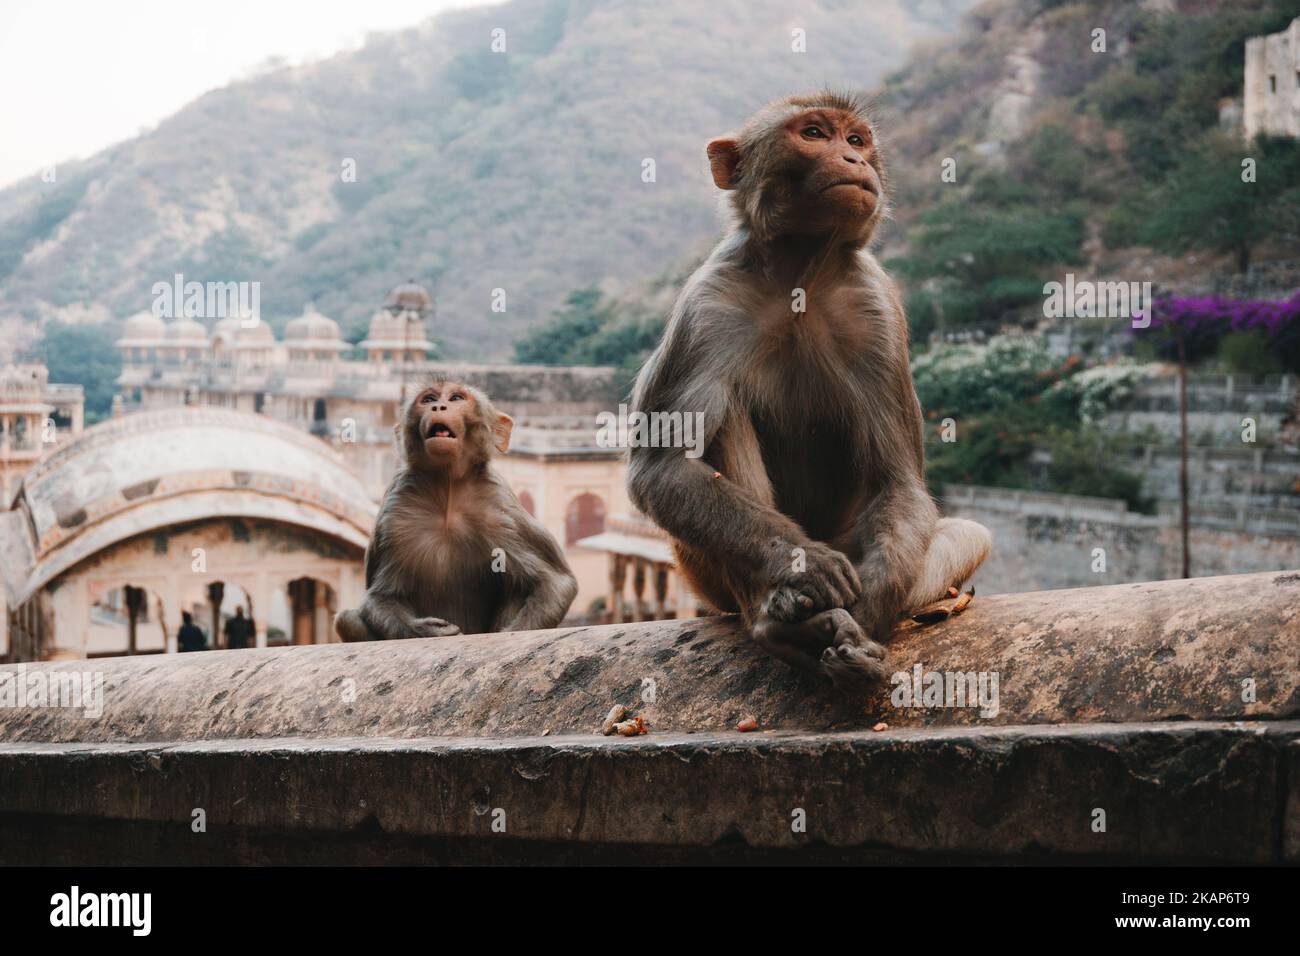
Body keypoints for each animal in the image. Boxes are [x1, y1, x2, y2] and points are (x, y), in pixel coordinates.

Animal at [334, 381, 578, 642]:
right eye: (428, 399)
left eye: (456, 398)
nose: (438, 406)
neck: (447, 490)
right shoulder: (394, 513)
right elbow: (380, 596)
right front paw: (426, 630)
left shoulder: (501, 509)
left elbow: (555, 582)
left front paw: (508, 634)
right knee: (347, 619)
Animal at [627, 91, 992, 689]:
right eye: (815, 134)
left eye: (857, 139)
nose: (854, 160)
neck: (801, 272)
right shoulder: (707, 304)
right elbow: (664, 467)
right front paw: (806, 567)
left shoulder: (876, 307)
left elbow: (898, 482)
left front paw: (868, 611)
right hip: (701, 574)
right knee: (724, 416)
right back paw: (779, 616)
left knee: (968, 534)